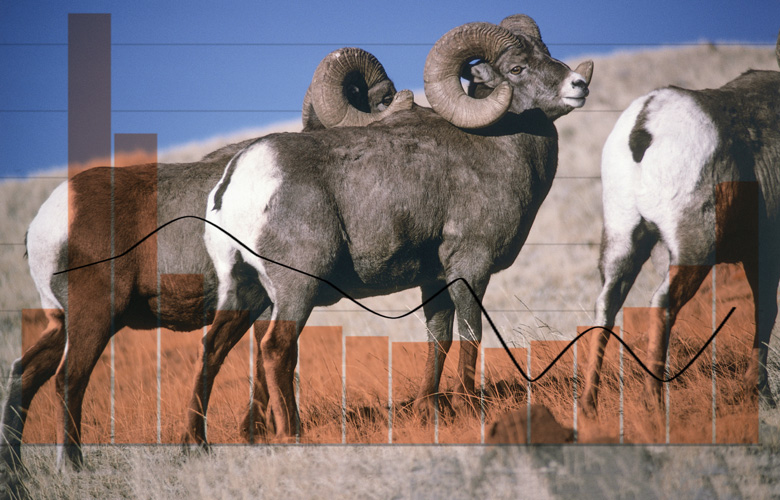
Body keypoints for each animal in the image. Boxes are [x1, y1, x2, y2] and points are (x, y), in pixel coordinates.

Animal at [0, 48, 410, 472]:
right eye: (384, 98)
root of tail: (43, 225)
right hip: (93, 318)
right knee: (69, 379)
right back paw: (73, 464)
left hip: (61, 323)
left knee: (24, 374)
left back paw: (15, 470)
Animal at [196, 15, 593, 443]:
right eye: (517, 68)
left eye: (547, 54)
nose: (578, 85)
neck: (496, 147)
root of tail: (239, 178)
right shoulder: (471, 266)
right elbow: (471, 334)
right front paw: (472, 407)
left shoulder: (435, 279)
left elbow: (439, 339)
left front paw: (429, 411)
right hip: (295, 290)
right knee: (276, 348)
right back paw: (291, 434)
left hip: (245, 291)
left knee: (213, 347)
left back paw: (198, 441)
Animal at [580, 32, 780, 417]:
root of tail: (646, 121)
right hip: (694, 250)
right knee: (663, 303)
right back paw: (655, 406)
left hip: (623, 242)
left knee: (606, 306)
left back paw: (588, 407)